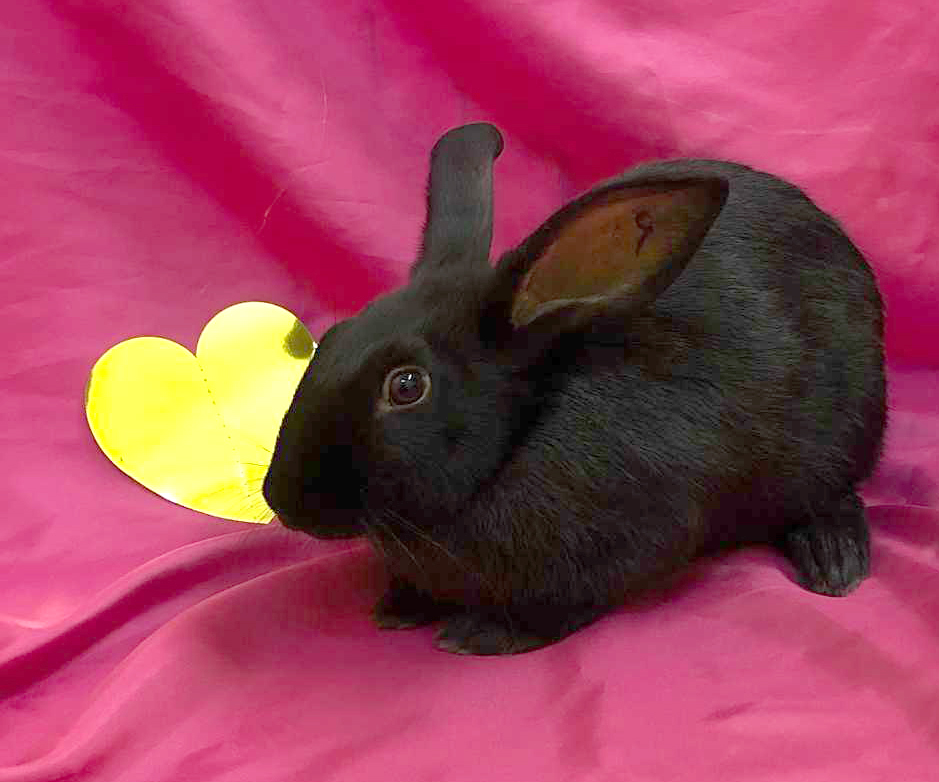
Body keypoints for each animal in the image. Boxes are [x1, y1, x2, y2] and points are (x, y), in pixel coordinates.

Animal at [263, 122, 886, 655]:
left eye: (407, 385)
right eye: (330, 338)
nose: (282, 501)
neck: (514, 442)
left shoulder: (636, 538)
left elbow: (567, 603)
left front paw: (481, 633)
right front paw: (398, 607)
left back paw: (833, 560)